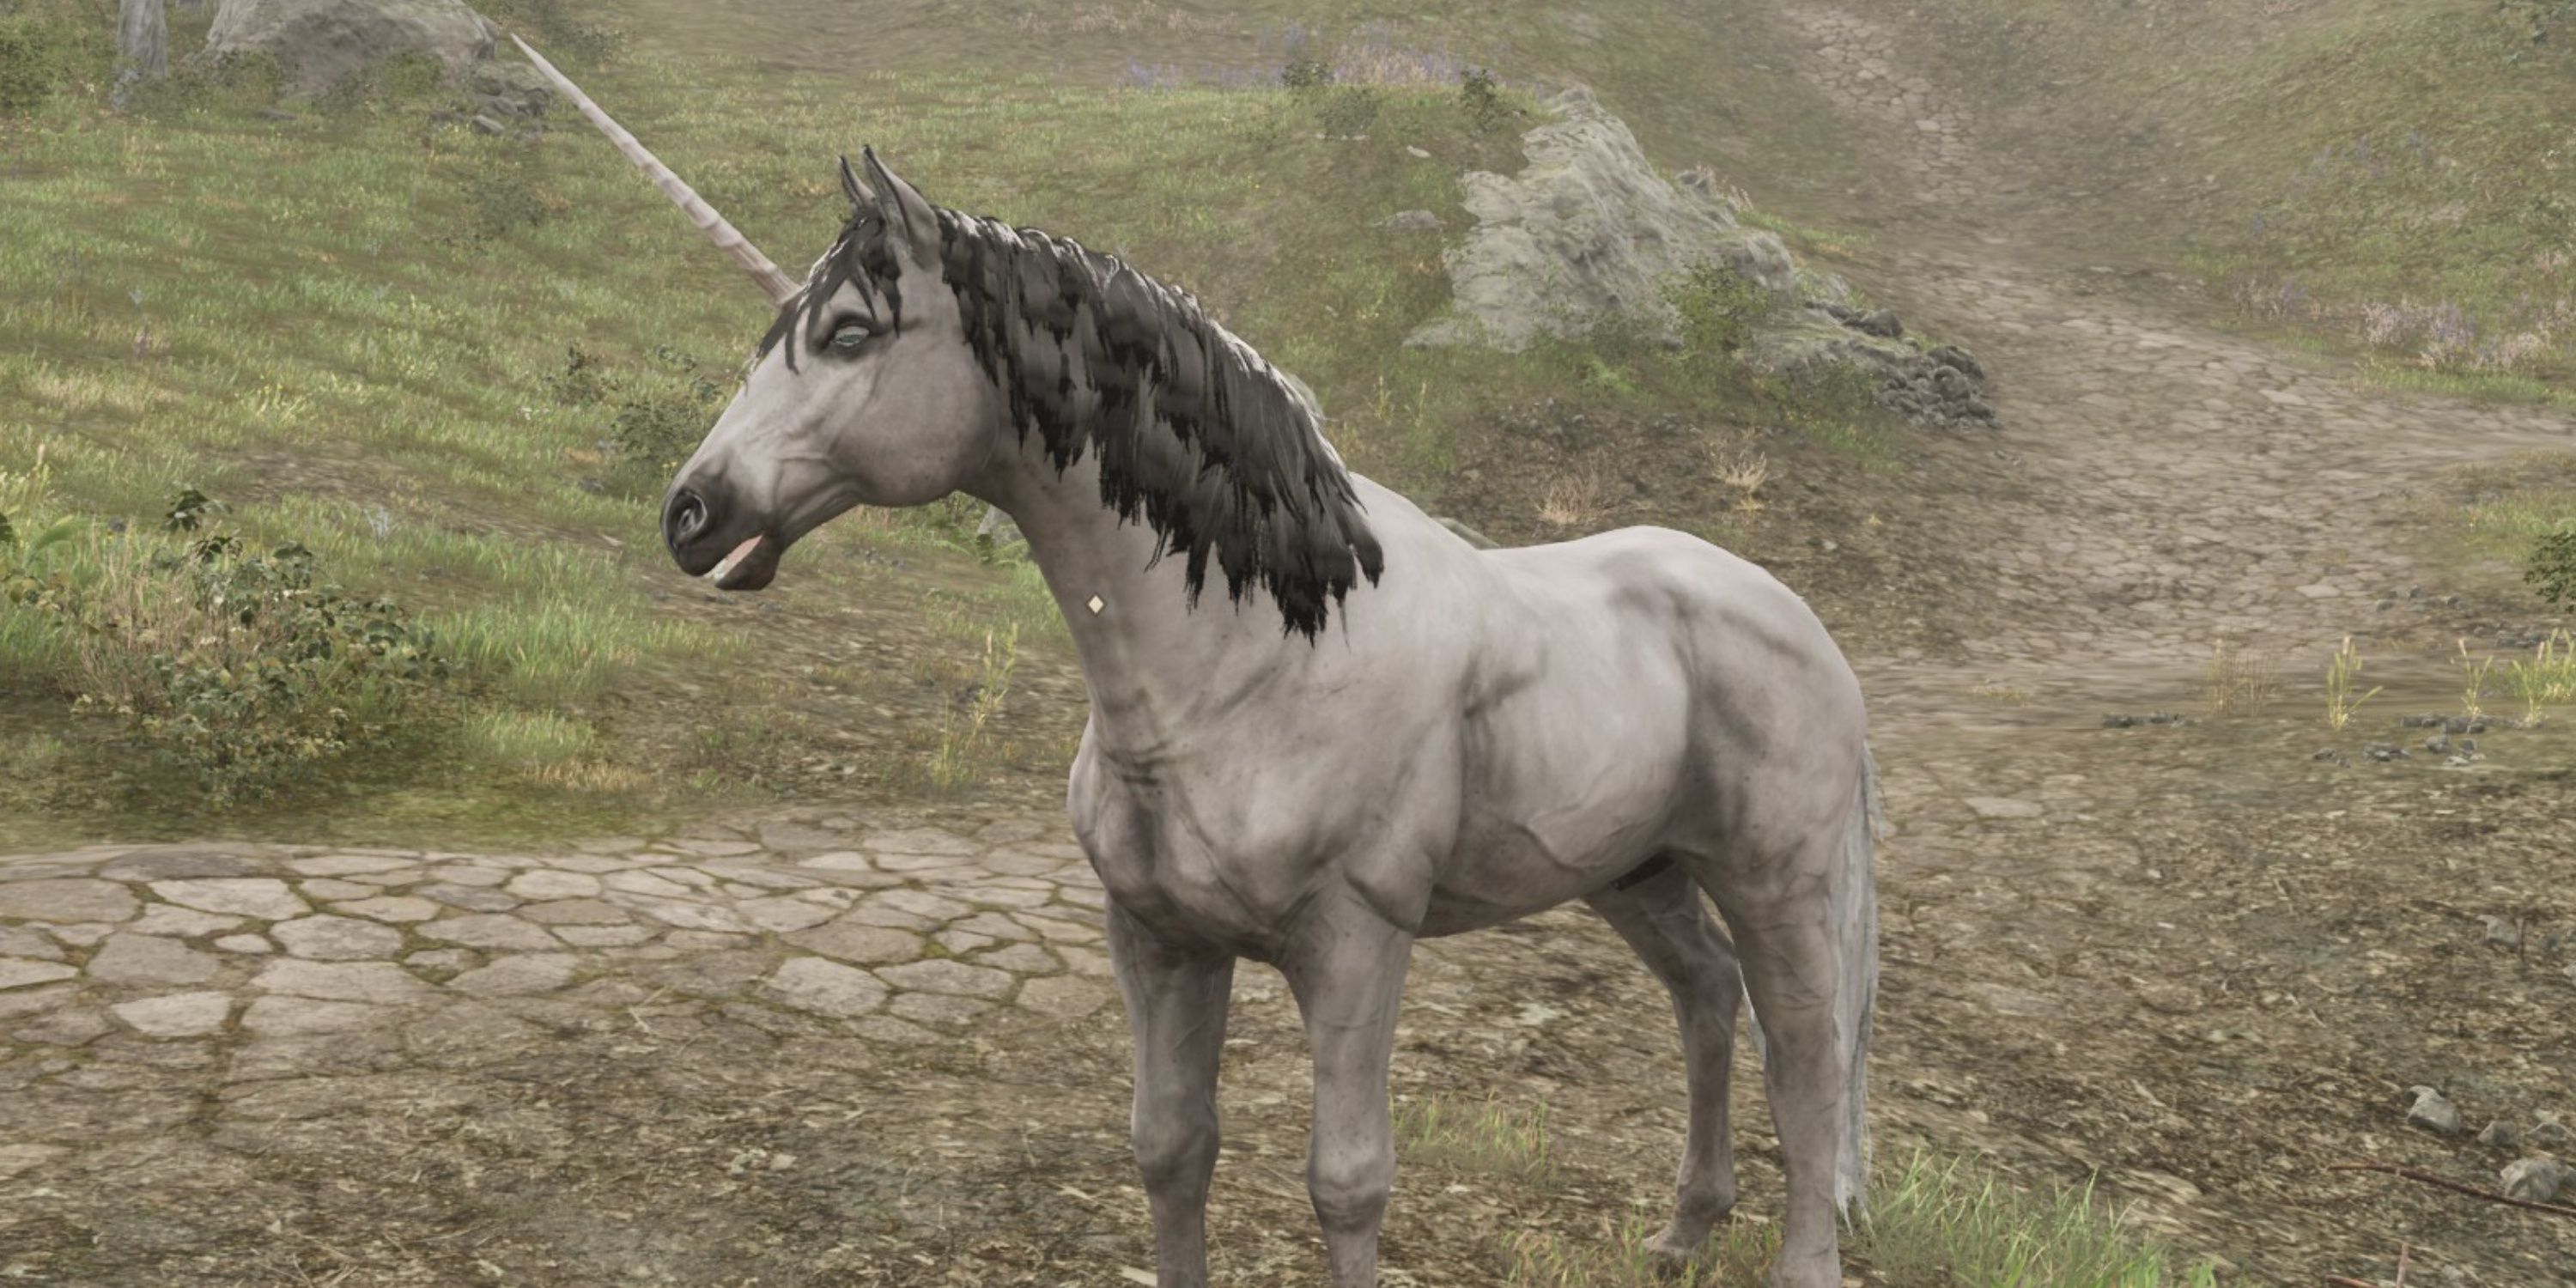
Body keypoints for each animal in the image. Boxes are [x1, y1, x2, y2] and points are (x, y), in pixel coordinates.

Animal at [516, 39, 1884, 1288]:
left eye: (851, 333)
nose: (692, 514)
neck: (1257, 659)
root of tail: (1800, 624)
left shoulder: (1356, 941)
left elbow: (1348, 1180)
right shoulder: (1159, 937)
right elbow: (1172, 1148)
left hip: (1772, 879)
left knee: (1804, 1057)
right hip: (1636, 872)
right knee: (1706, 998)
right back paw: (1681, 1232)